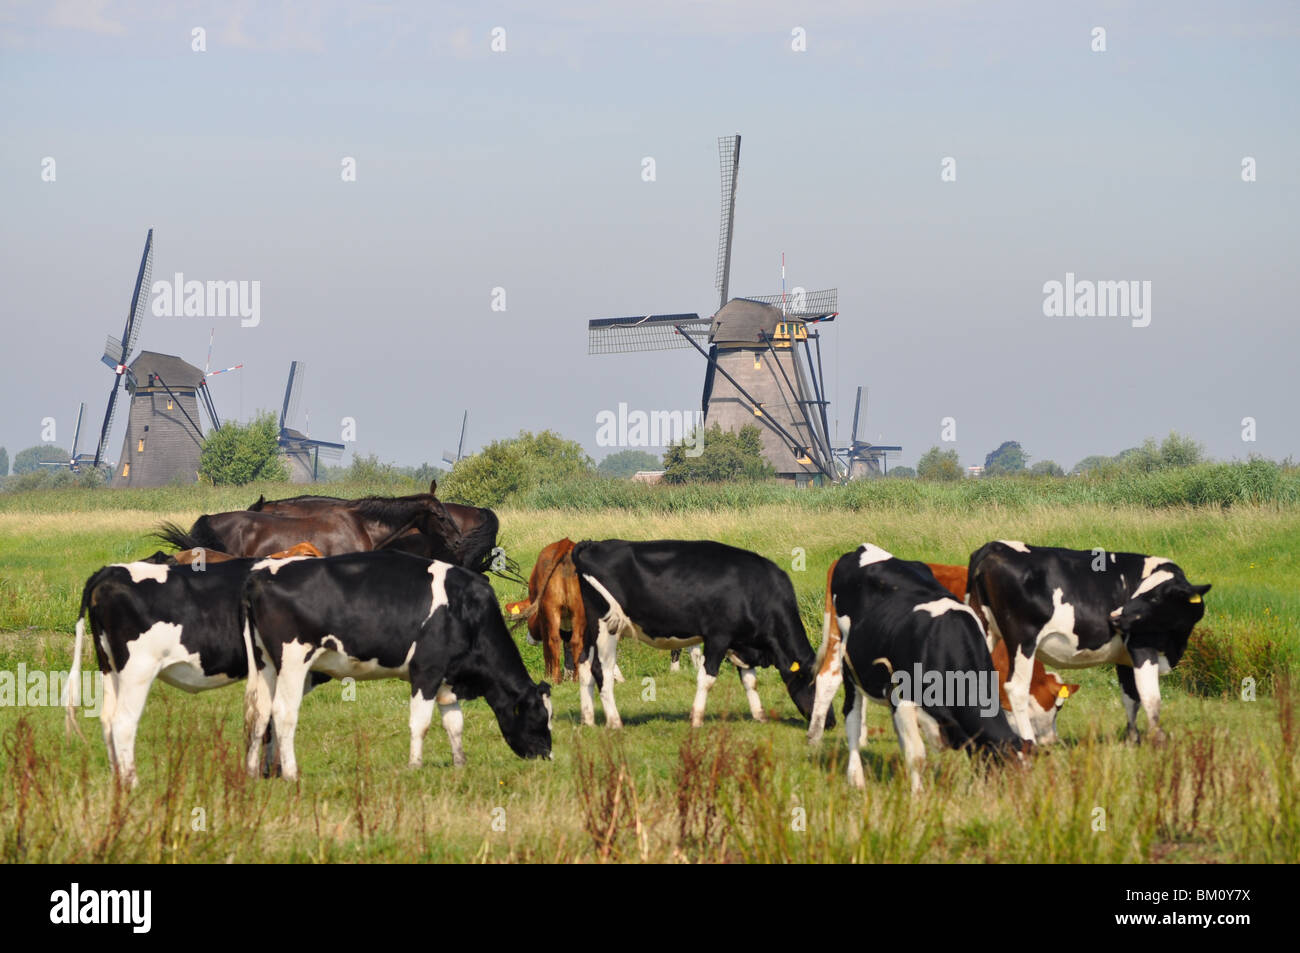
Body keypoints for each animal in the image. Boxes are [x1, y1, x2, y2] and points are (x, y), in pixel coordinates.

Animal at [65, 547, 319, 786]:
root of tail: (109, 571)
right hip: (137, 670)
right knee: (123, 722)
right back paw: (132, 783)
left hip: (109, 666)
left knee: (107, 720)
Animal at [242, 550, 552, 780]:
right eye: (539, 716)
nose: (547, 756)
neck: (466, 613)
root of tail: (259, 575)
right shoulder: (426, 671)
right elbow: (421, 723)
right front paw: (415, 765)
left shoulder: (446, 677)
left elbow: (454, 723)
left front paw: (460, 763)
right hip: (293, 661)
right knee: (283, 712)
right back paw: (291, 773)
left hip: (265, 663)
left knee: (260, 712)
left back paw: (252, 772)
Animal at [570, 539, 824, 730]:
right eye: (816, 686)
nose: (828, 722)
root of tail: (591, 544)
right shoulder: (718, 637)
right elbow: (707, 678)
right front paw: (697, 719)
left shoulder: (740, 642)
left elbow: (750, 680)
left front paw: (759, 716)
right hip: (606, 626)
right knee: (601, 670)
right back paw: (614, 722)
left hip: (590, 630)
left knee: (584, 665)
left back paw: (588, 720)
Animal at [818, 544, 1024, 791]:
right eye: (1003, 766)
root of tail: (862, 548)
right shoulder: (903, 697)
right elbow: (916, 755)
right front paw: (917, 794)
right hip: (848, 665)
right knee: (853, 719)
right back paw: (856, 777)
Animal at [967, 541, 1210, 744]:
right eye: (1140, 592)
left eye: (1155, 596)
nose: (1115, 617)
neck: (1175, 643)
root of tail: (996, 546)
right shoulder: (1141, 646)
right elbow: (1151, 699)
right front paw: (1157, 742)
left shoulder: (1124, 657)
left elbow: (1130, 698)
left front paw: (1132, 741)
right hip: (1022, 639)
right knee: (1017, 688)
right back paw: (1029, 741)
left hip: (985, 629)